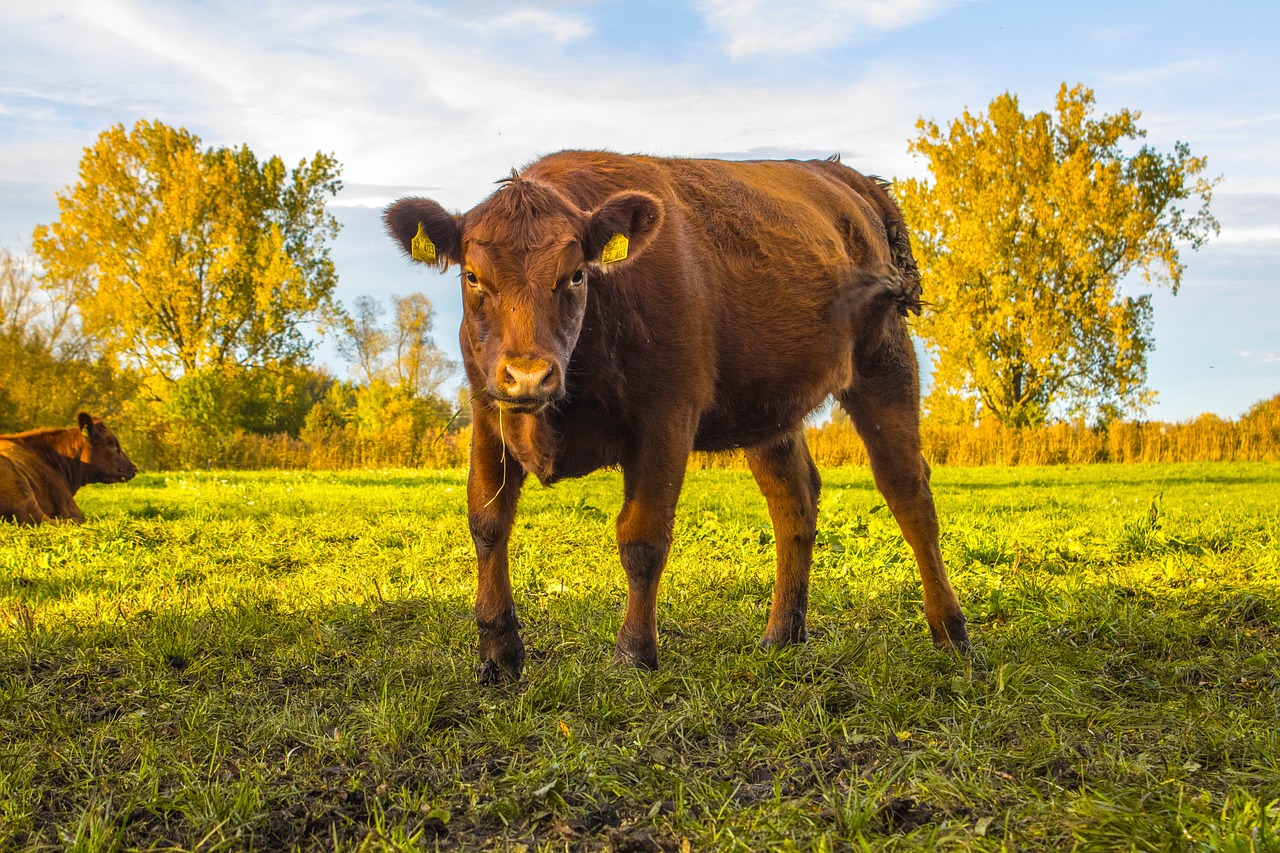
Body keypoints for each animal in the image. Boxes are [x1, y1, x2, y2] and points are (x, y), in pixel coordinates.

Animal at [385, 150, 968, 681]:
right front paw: (498, 653)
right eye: (472, 276)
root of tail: (846, 176)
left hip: (884, 361)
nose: (529, 375)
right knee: (795, 501)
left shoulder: (666, 417)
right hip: (769, 407)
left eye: (575, 276)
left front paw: (634, 654)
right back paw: (782, 633)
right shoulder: (487, 410)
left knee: (909, 493)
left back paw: (951, 631)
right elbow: (487, 522)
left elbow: (642, 538)